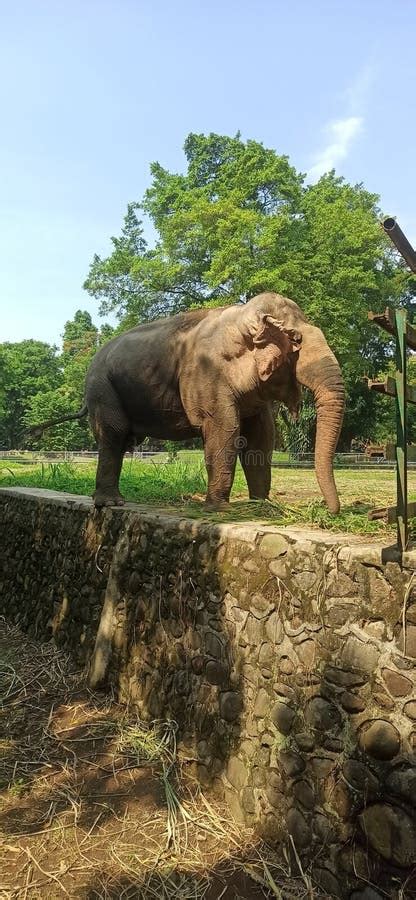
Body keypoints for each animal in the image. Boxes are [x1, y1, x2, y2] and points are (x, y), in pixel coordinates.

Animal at [32, 292, 345, 512]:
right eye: (297, 343)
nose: (327, 509)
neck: (242, 318)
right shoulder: (207, 374)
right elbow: (224, 428)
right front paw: (220, 509)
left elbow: (261, 437)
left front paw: (261, 505)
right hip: (101, 388)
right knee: (113, 434)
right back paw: (110, 503)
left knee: (119, 441)